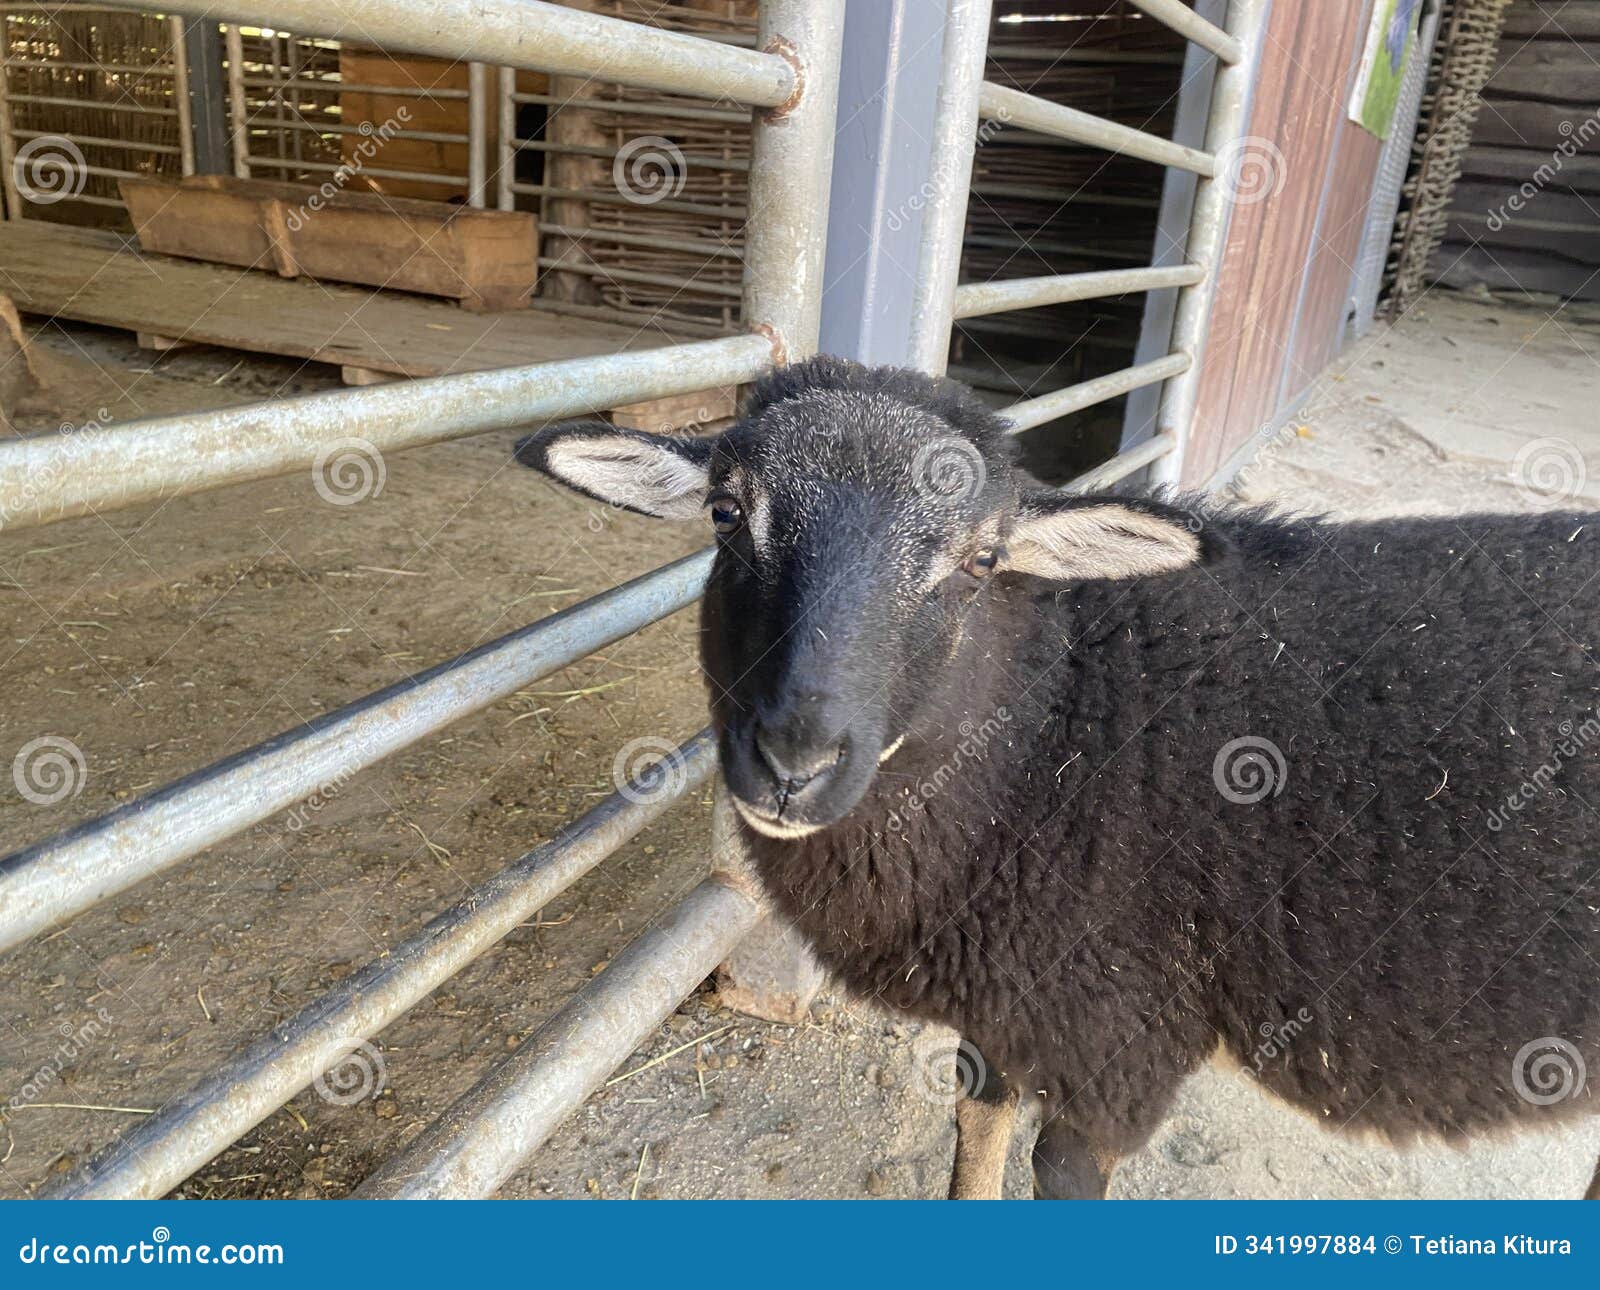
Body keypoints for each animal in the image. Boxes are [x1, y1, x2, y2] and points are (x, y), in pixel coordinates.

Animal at [518, 355, 1600, 1200]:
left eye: (982, 560)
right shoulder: (1008, 991)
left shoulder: (1115, 1041)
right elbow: (975, 1132)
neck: (1057, 723)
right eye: (724, 512)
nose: (792, 766)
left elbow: (1057, 1172)